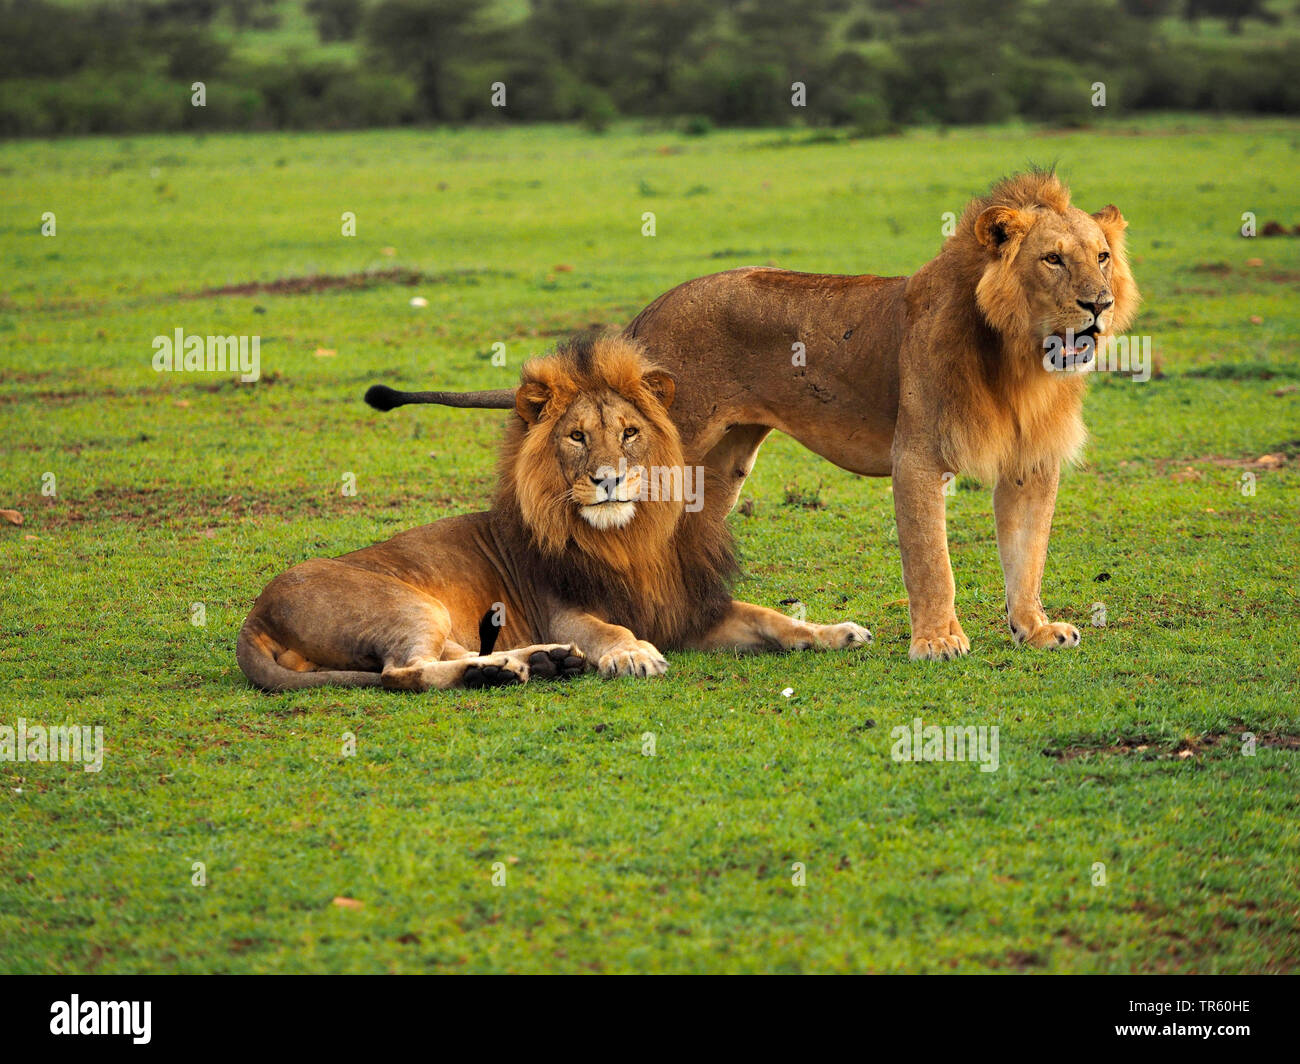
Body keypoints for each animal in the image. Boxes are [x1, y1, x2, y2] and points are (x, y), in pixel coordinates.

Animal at [239, 336, 872, 691]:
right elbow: (607, 629)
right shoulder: (563, 611)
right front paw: (633, 653)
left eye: (630, 432)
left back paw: (535, 664)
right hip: (410, 605)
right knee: (404, 673)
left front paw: (836, 632)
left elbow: (774, 619)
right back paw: (507, 670)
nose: (609, 479)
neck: (628, 542)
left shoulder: (690, 611)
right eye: (576, 437)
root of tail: (255, 616)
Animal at [369, 170, 1138, 661]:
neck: (1019, 362)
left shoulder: (1031, 465)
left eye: (1102, 257)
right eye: (1052, 260)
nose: (1098, 306)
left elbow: (1026, 555)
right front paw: (938, 641)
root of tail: (642, 324)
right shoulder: (918, 454)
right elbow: (932, 562)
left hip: (717, 470)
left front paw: (1034, 628)